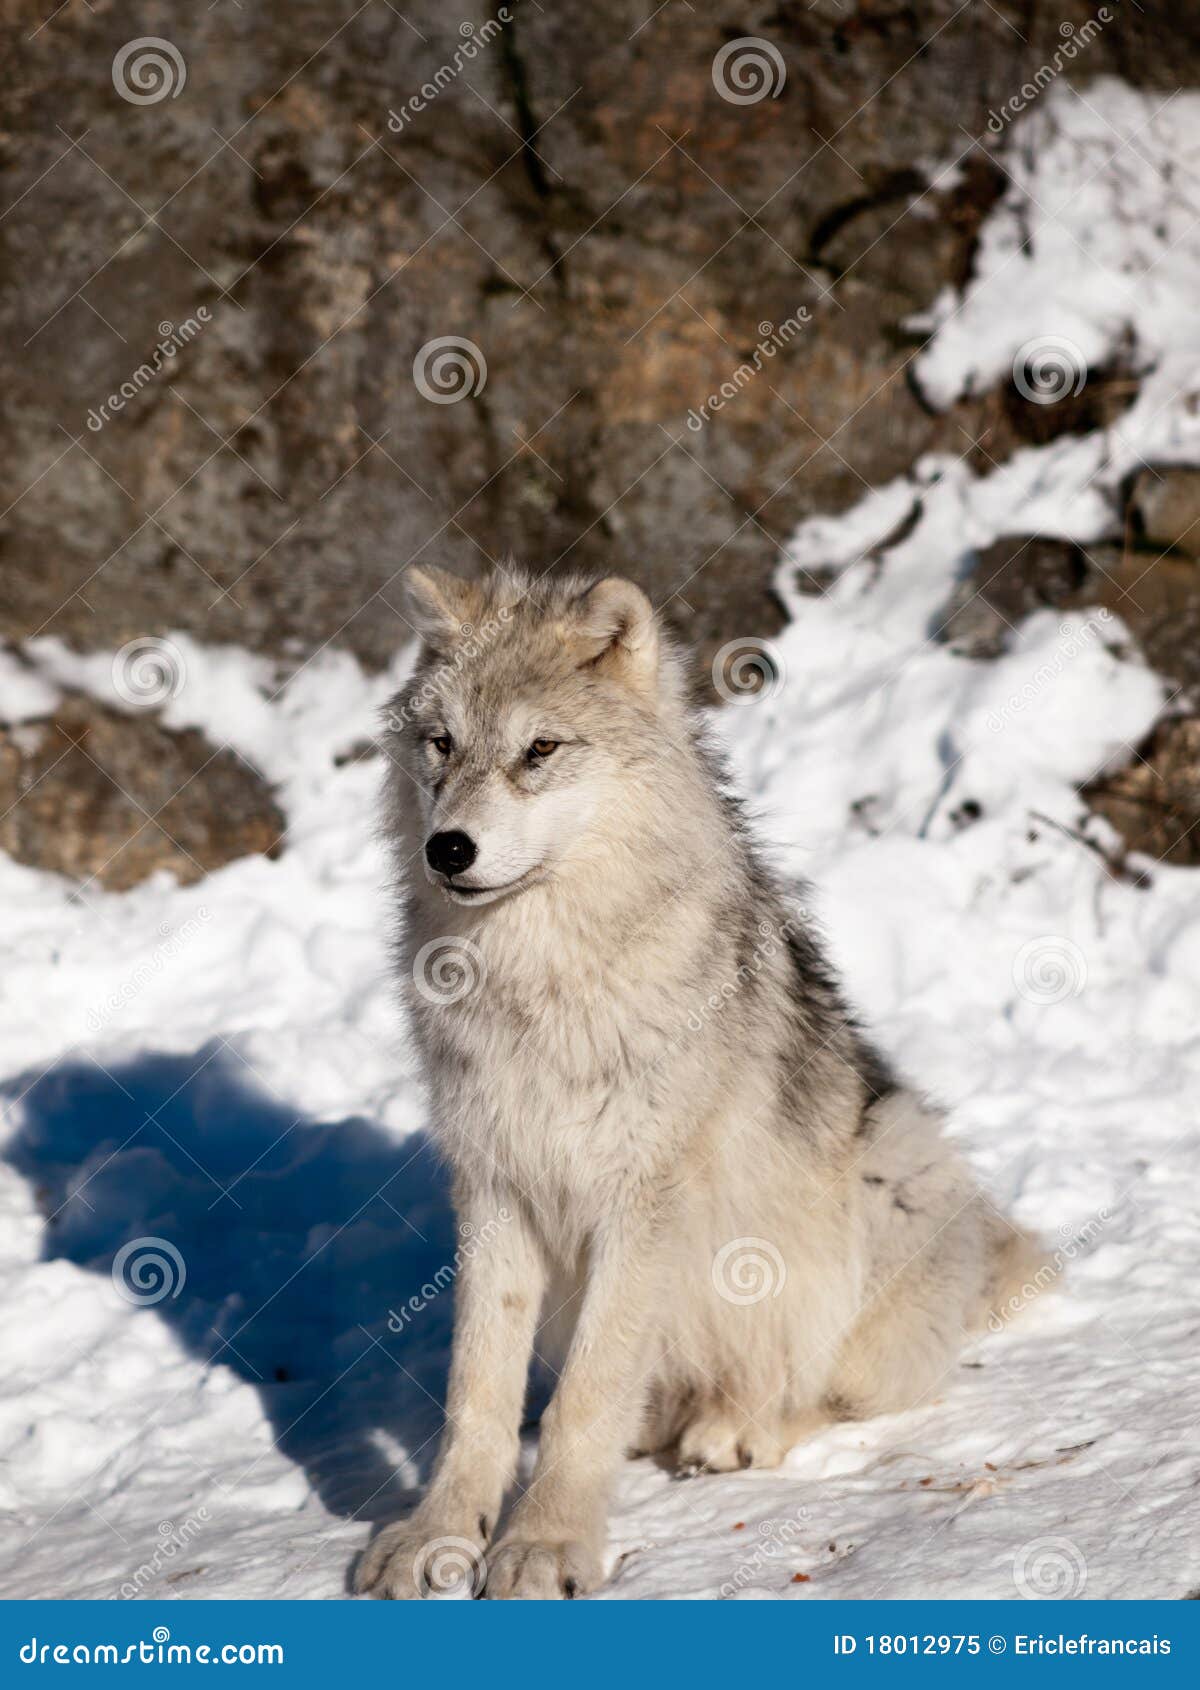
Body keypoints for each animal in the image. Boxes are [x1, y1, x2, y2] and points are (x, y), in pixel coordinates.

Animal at [356, 564, 1043, 1600]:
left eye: (539, 750)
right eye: (443, 745)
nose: (448, 849)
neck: (540, 980)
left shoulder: (643, 1201)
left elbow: (588, 1398)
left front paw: (545, 1545)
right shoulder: (494, 1189)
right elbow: (477, 1395)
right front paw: (439, 1536)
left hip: (892, 1154)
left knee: (840, 1391)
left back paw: (740, 1427)